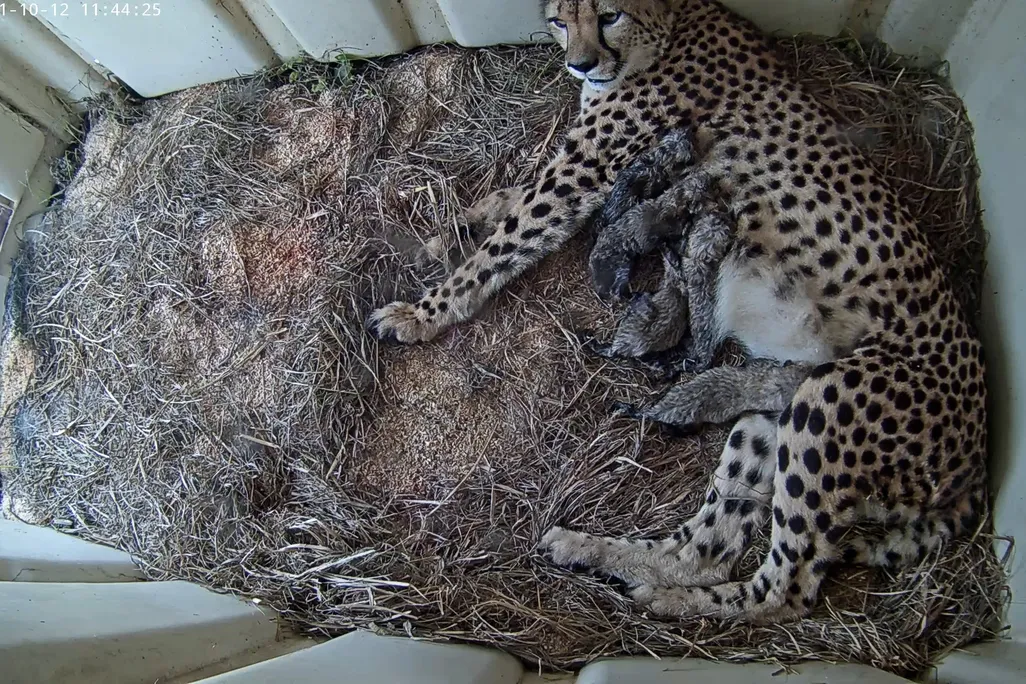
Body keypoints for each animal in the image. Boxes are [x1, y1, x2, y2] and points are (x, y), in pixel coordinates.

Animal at [366, 0, 988, 624]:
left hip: (829, 402)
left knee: (788, 588)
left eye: (609, 15)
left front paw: (423, 312)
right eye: (560, 20)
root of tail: (978, 451)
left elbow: (506, 241)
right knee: (706, 550)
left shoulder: (586, 170)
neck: (669, 29)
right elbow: (507, 202)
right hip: (774, 405)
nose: (581, 64)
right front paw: (446, 232)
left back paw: (670, 597)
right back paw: (599, 554)